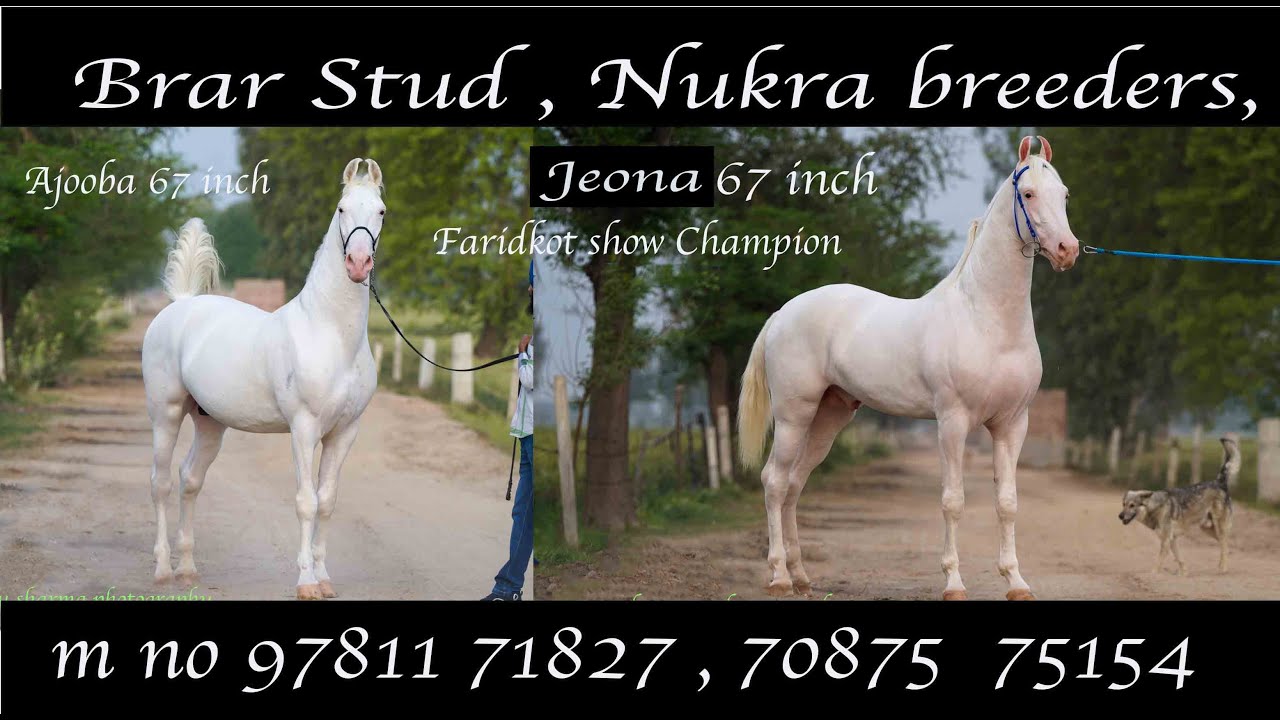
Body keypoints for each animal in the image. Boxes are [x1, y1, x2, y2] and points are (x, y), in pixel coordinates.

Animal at [141, 157, 384, 600]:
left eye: (380, 211)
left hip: (210, 423)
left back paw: (188, 569)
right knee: (161, 482)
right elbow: (306, 501)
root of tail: (181, 304)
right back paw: (164, 569)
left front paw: (324, 578)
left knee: (190, 480)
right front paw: (306, 582)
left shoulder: (344, 432)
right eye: (341, 209)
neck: (330, 333)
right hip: (165, 414)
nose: (358, 264)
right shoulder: (304, 429)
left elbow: (327, 501)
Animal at [737, 136, 1080, 601]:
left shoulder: (1012, 424)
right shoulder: (952, 421)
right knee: (774, 481)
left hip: (829, 416)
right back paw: (779, 576)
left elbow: (1007, 503)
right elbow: (953, 501)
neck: (987, 320)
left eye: (1063, 195)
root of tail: (782, 314)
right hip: (795, 414)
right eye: (1028, 194)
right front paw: (953, 583)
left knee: (793, 483)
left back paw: (802, 575)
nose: (1067, 251)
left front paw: (1016, 582)